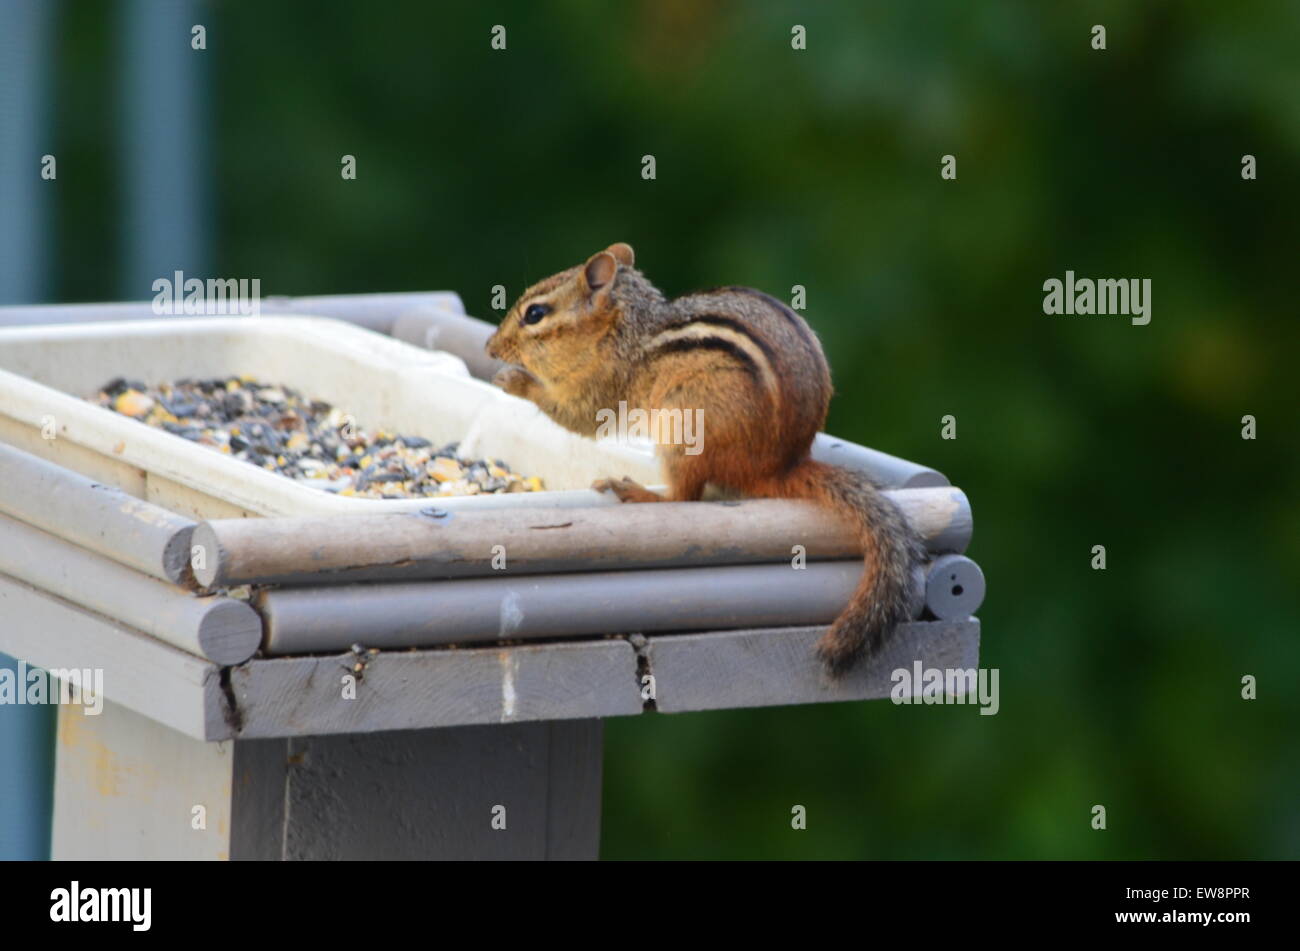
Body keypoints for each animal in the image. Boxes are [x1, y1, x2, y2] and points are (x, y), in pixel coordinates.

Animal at [484, 243, 924, 675]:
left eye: (535, 314)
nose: (490, 347)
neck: (623, 332)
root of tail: (778, 467)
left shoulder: (603, 387)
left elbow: (578, 417)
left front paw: (513, 380)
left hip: (684, 427)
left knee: (684, 496)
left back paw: (636, 491)